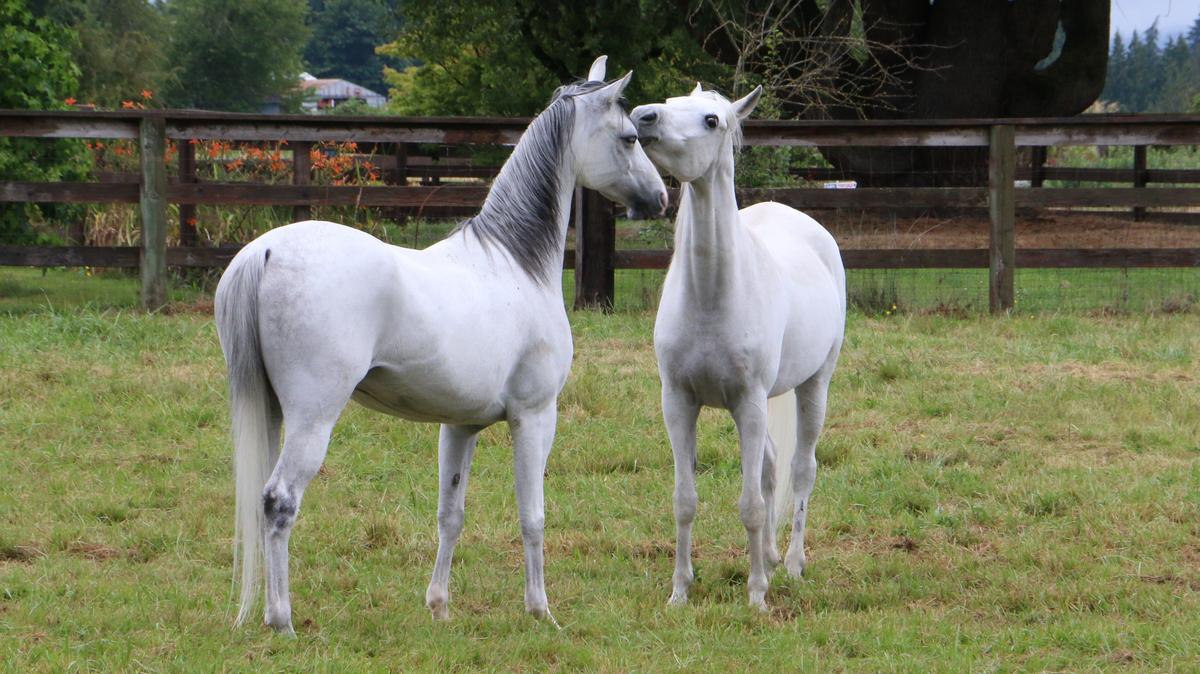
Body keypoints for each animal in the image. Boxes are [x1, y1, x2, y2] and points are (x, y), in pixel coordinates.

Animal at [215, 56, 667, 633]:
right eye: (630, 137)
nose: (660, 198)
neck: (515, 262)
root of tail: (267, 250)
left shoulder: (460, 426)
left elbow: (450, 515)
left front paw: (439, 606)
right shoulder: (535, 417)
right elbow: (533, 516)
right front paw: (540, 610)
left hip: (272, 411)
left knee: (262, 499)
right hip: (312, 418)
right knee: (279, 502)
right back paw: (282, 620)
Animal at [631, 84, 845, 611]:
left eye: (712, 119)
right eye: (670, 102)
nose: (643, 117)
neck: (711, 296)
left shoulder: (748, 403)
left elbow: (750, 504)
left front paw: (757, 596)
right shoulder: (679, 403)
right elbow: (684, 500)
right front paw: (680, 591)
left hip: (813, 386)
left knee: (801, 469)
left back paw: (792, 564)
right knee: (769, 466)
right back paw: (768, 556)